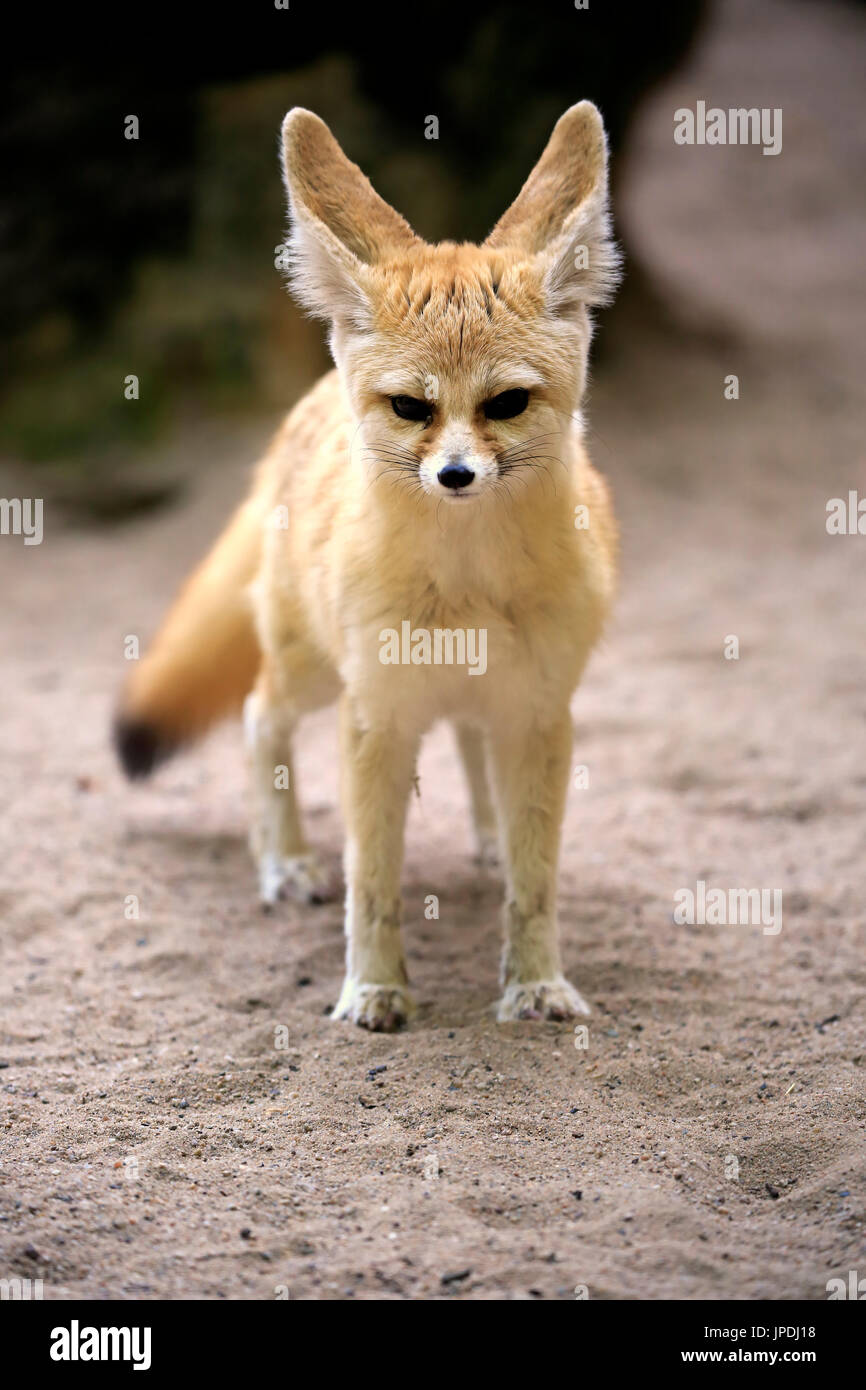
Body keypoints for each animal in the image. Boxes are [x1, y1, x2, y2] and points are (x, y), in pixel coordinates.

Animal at [114, 100, 621, 1032]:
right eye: (412, 408)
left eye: (506, 404)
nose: (455, 476)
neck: (467, 579)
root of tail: (308, 399)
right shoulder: (374, 720)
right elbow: (373, 879)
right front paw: (376, 989)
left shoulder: (538, 714)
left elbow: (536, 880)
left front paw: (535, 982)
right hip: (312, 673)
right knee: (258, 717)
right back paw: (284, 863)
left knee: (468, 740)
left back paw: (486, 841)